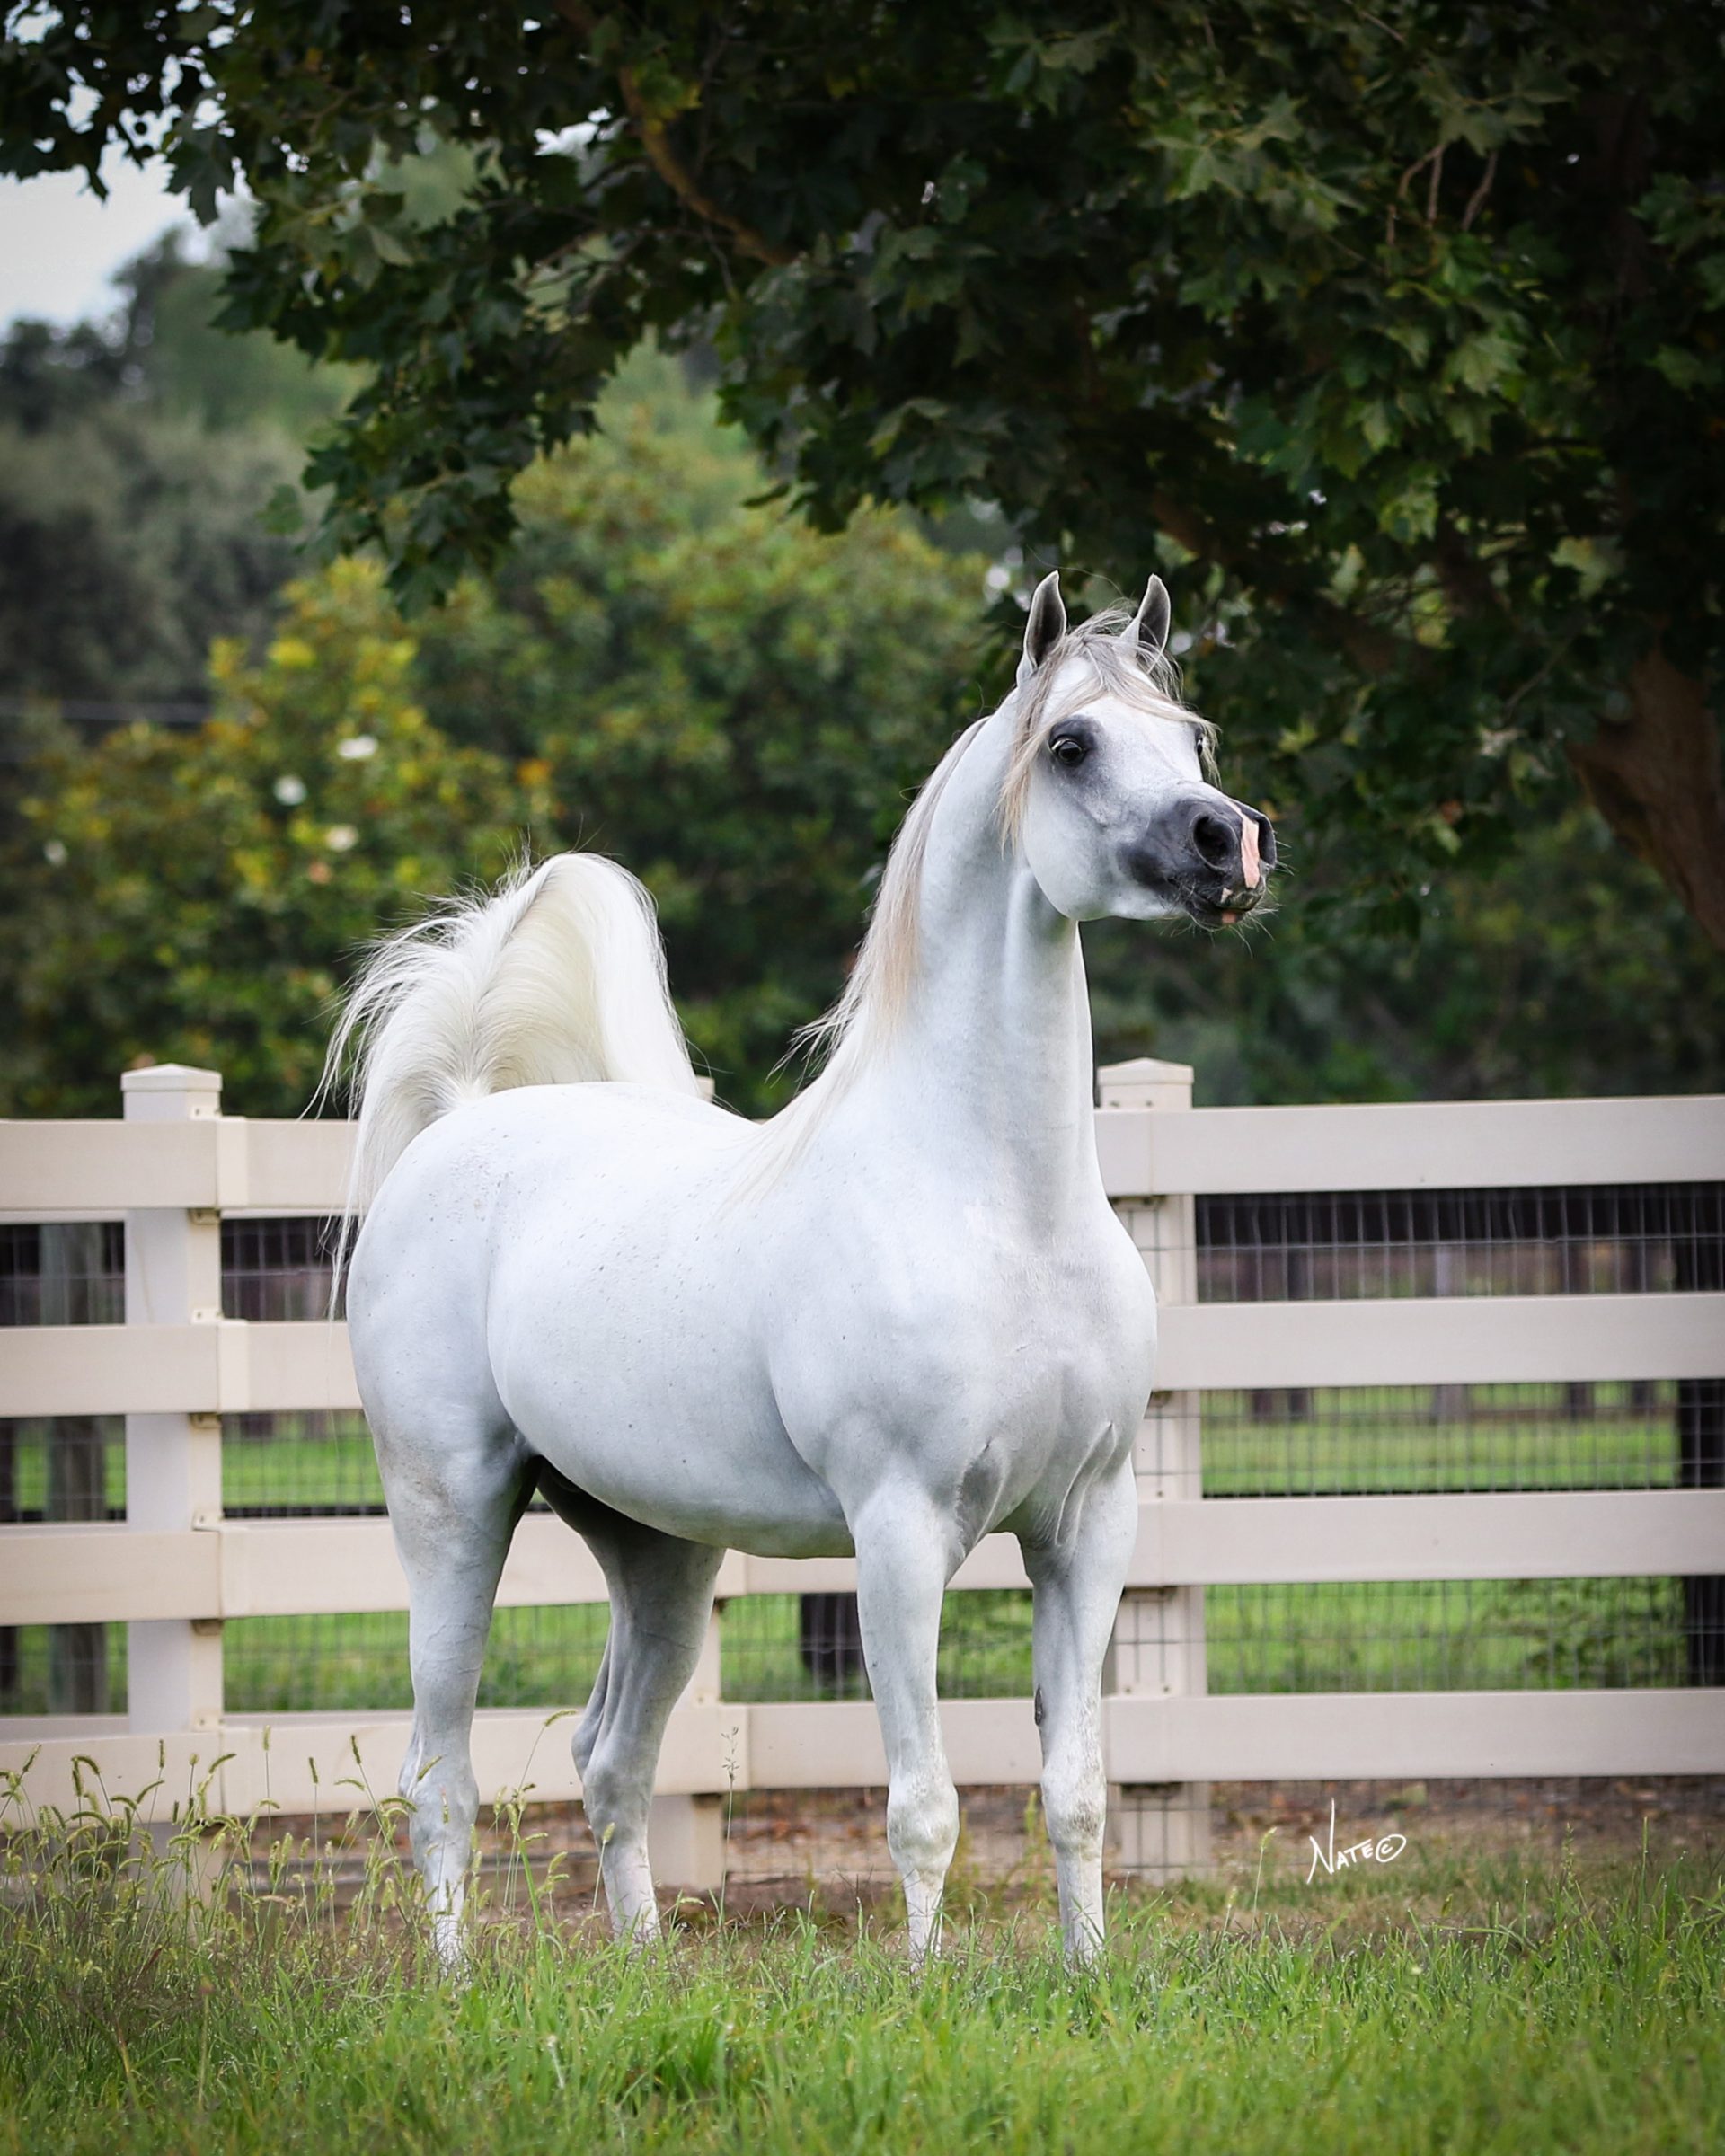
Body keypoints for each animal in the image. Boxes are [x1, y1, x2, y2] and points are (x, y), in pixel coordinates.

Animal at [331, 569, 1274, 1966]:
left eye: (1194, 737)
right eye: (1071, 743)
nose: (1231, 846)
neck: (1003, 1211)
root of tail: (458, 1121)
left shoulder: (1087, 1528)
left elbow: (1077, 1793)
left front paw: (1089, 1972)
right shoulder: (899, 1535)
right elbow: (924, 1806)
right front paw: (926, 1986)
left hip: (657, 1555)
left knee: (608, 1759)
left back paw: (644, 1968)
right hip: (451, 1513)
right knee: (439, 1777)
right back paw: (454, 1988)